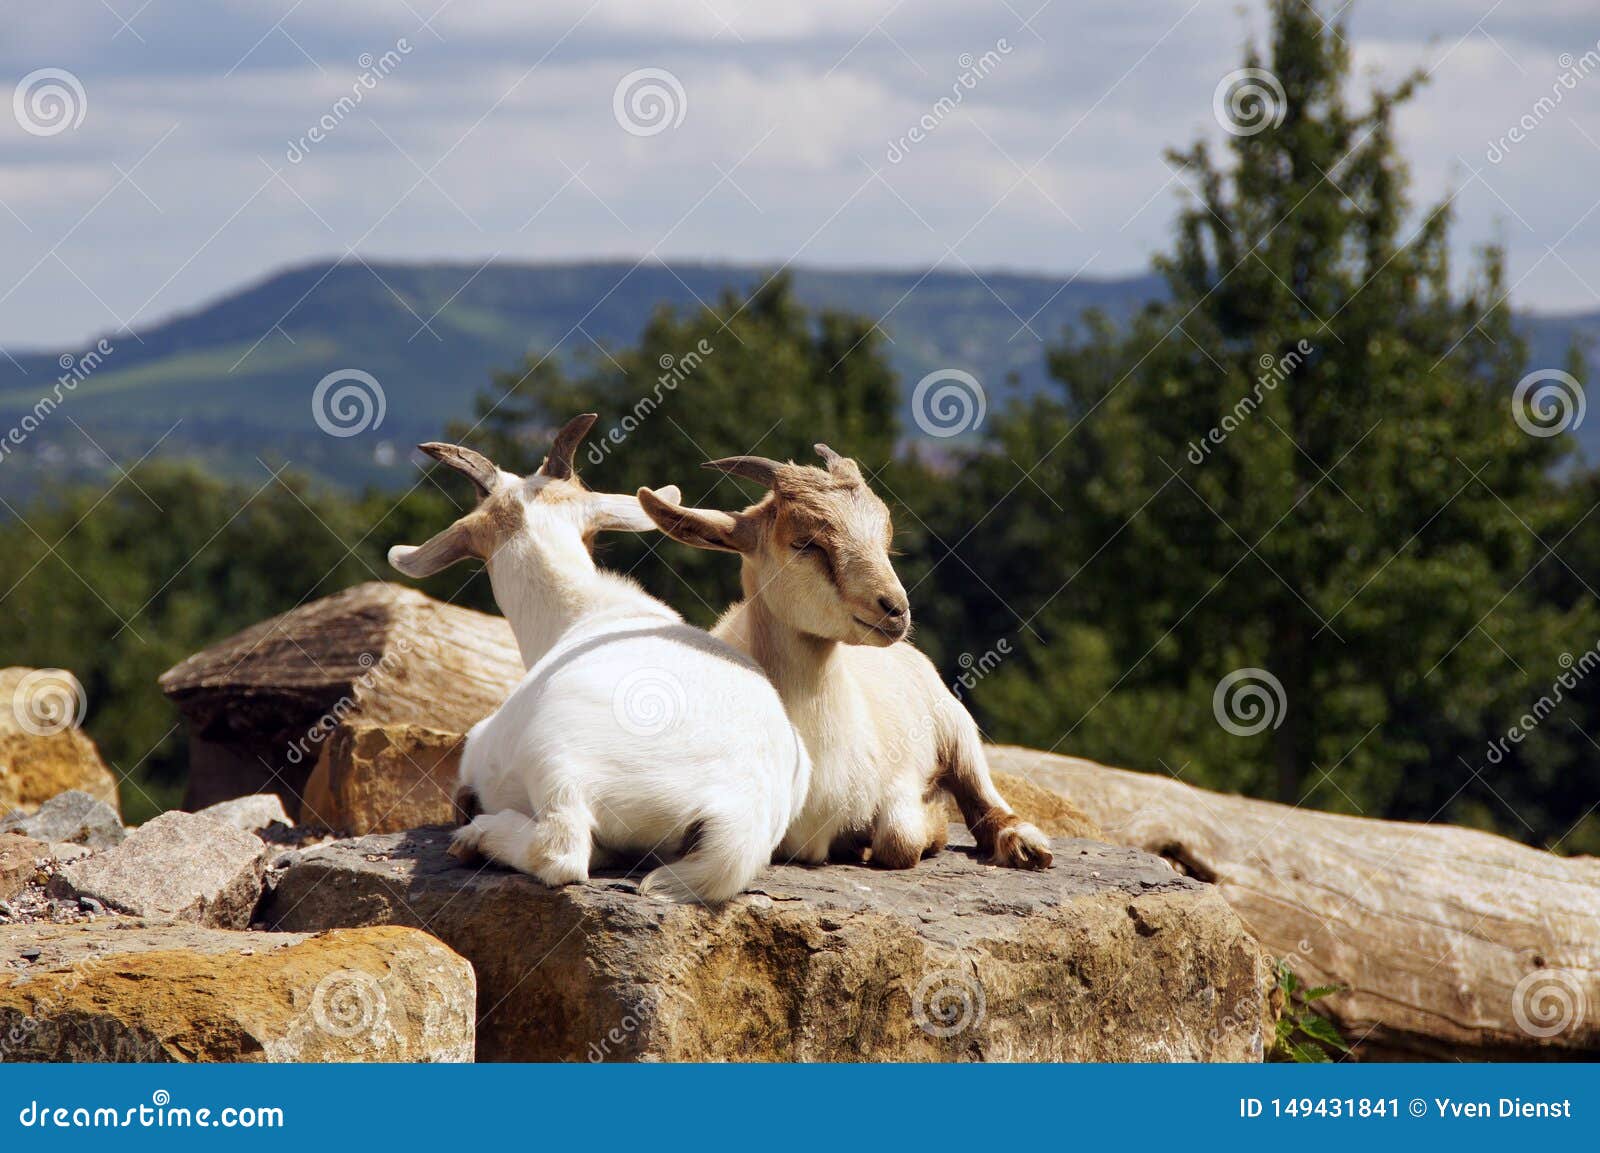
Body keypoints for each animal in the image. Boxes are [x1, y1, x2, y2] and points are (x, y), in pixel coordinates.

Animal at [638, 446, 1052, 871]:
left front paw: (928, 824)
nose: (895, 610)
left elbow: (899, 840)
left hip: (955, 725)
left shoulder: (900, 775)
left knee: (981, 791)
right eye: (806, 543)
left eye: (886, 541)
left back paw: (1025, 845)